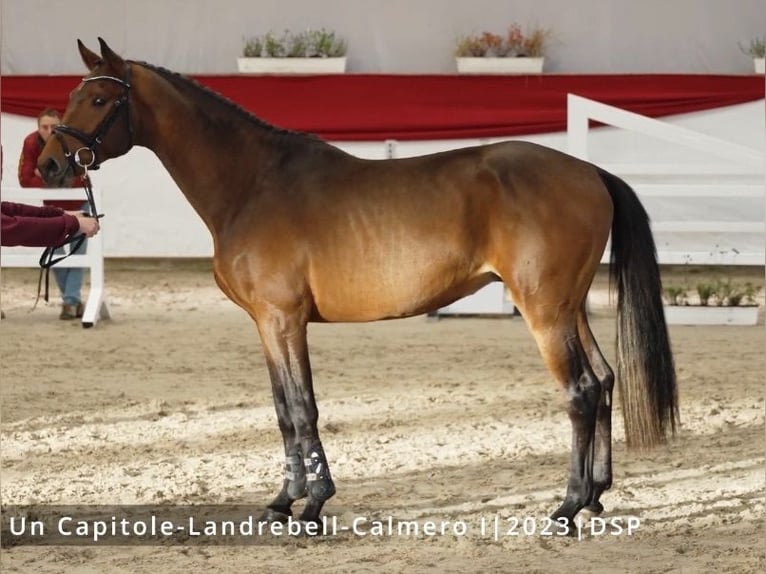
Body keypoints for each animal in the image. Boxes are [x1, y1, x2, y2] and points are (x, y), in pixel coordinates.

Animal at [38, 38, 678, 530]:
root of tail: (588, 171)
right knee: (605, 379)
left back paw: (567, 506)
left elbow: (304, 408)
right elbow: (282, 410)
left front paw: (314, 505)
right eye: (71, 95)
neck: (252, 183)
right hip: (569, 307)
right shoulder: (264, 324)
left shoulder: (284, 318)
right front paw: (283, 500)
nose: (49, 165)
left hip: (544, 311)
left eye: (99, 98)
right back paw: (595, 497)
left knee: (581, 392)